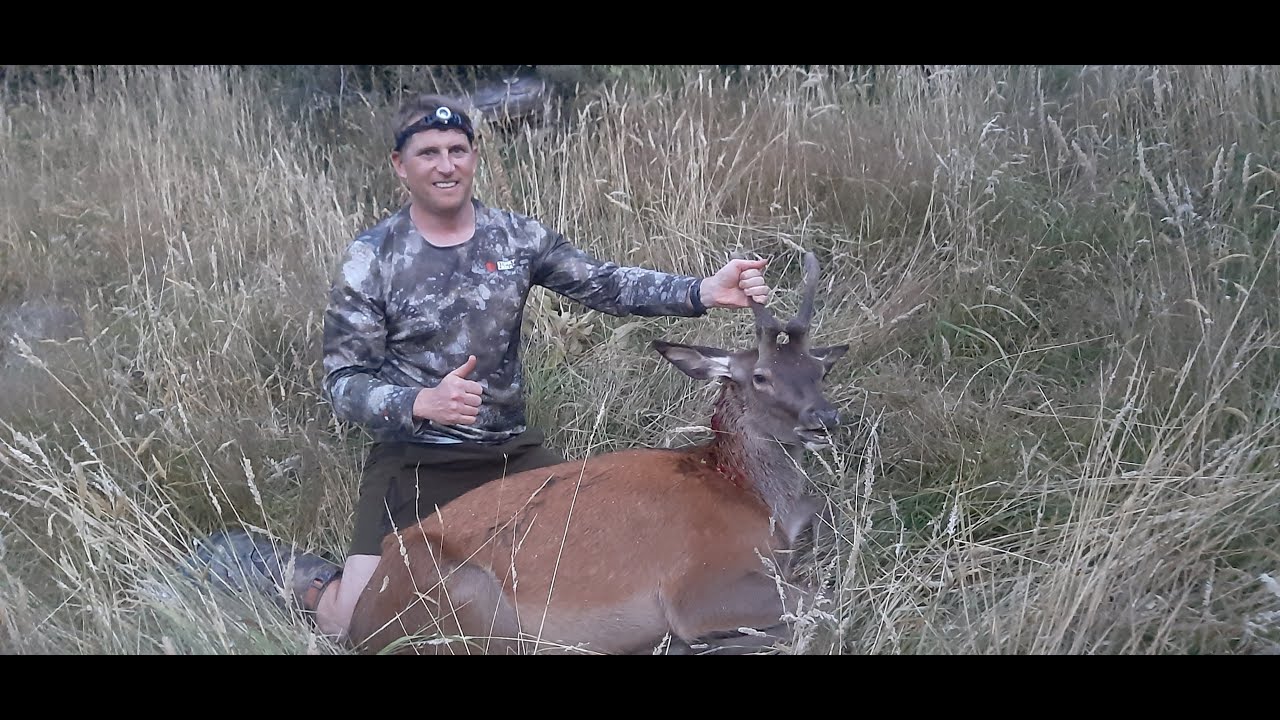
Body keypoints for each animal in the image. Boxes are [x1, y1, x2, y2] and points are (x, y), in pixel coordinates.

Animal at [346, 251, 849, 655]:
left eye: (820, 369)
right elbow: (825, 605)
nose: (824, 418)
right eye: (761, 376)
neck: (756, 501)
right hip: (473, 605)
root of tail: (360, 628)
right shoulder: (700, 582)